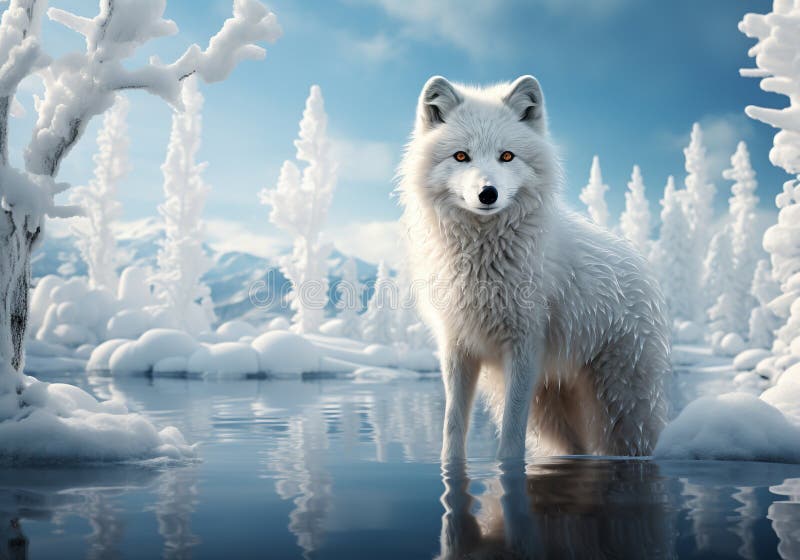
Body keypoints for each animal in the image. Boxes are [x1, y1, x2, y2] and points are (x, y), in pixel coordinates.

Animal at [397, 75, 671, 462]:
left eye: (507, 156)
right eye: (461, 156)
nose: (488, 193)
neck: (484, 262)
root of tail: (639, 261)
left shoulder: (525, 346)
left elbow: (511, 436)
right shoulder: (457, 349)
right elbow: (452, 427)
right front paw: (450, 466)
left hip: (619, 407)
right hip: (549, 411)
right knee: (575, 447)